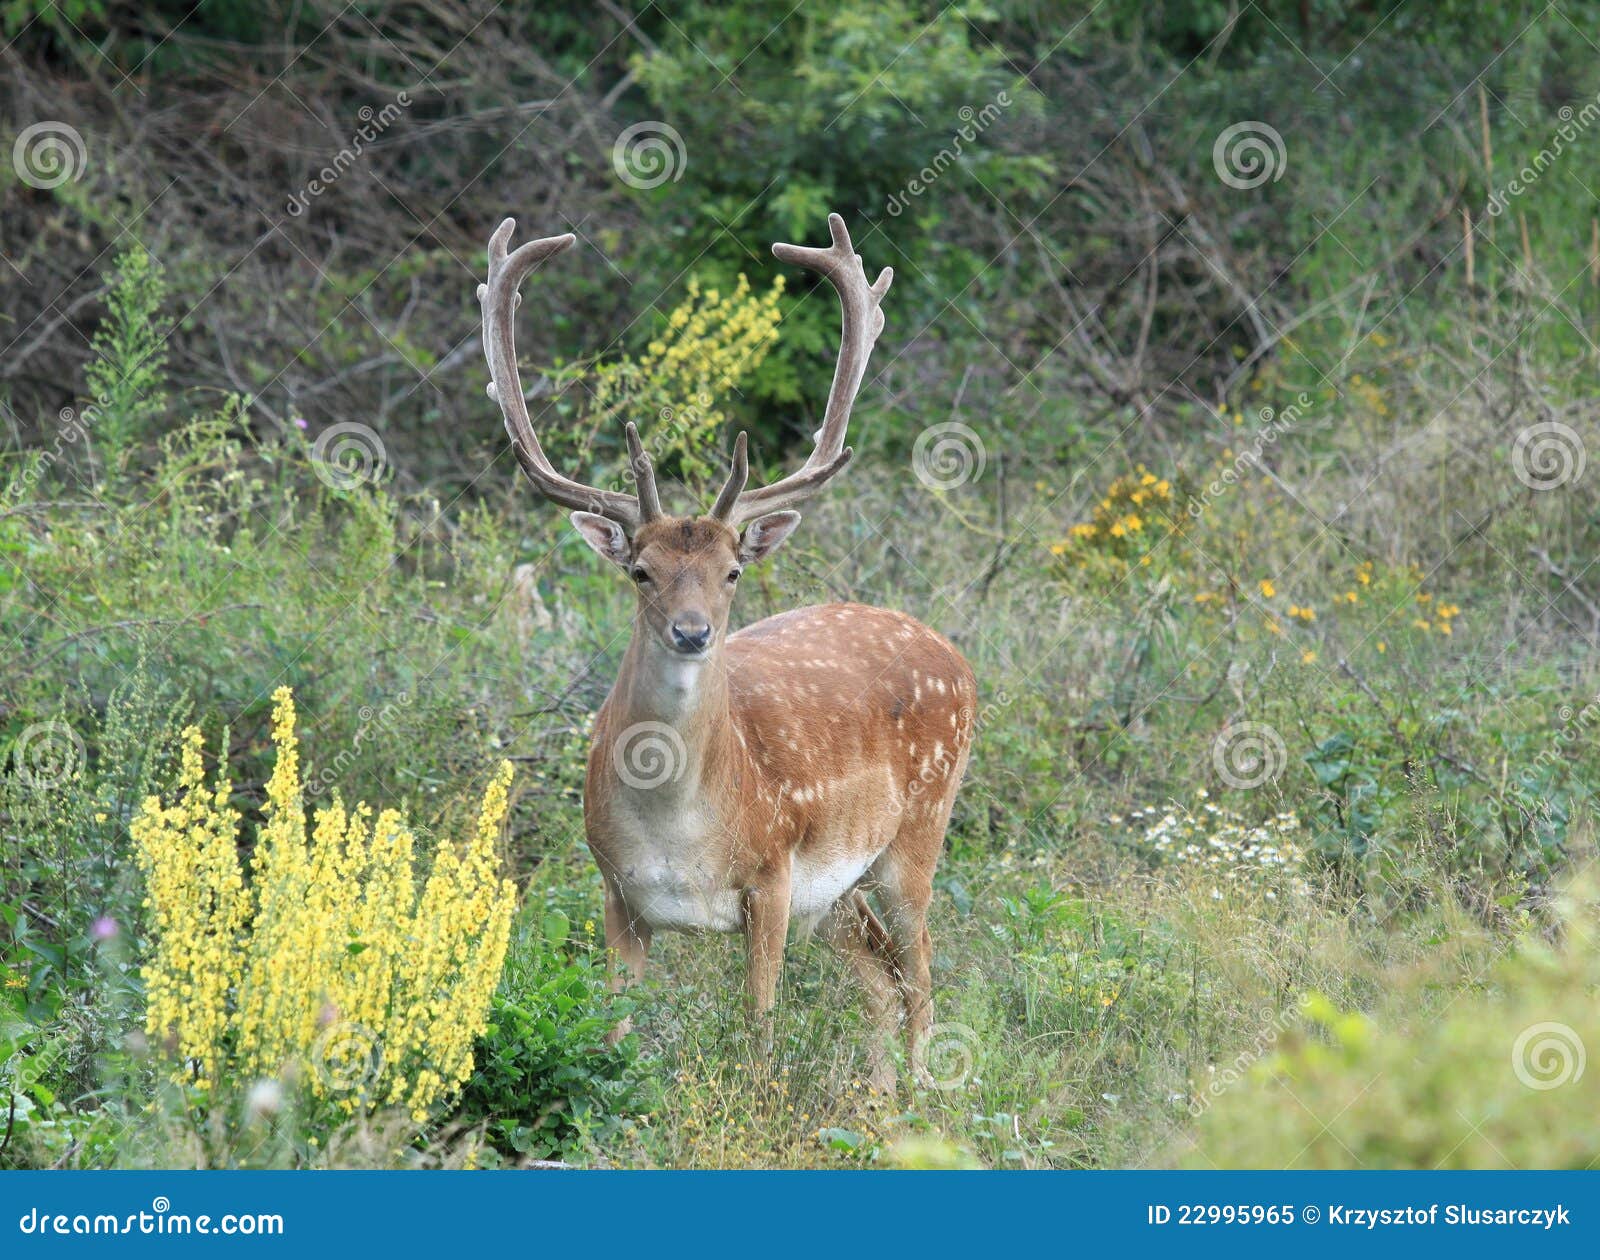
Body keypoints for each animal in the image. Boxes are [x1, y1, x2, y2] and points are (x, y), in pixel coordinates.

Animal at [478, 212, 976, 1091]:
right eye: (640, 570)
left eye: (732, 571)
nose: (692, 632)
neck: (681, 833)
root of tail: (958, 659)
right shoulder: (616, 890)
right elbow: (612, 1038)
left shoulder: (772, 875)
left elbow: (758, 1032)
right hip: (835, 894)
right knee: (881, 979)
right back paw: (880, 1101)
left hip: (917, 833)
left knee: (920, 975)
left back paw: (922, 1096)